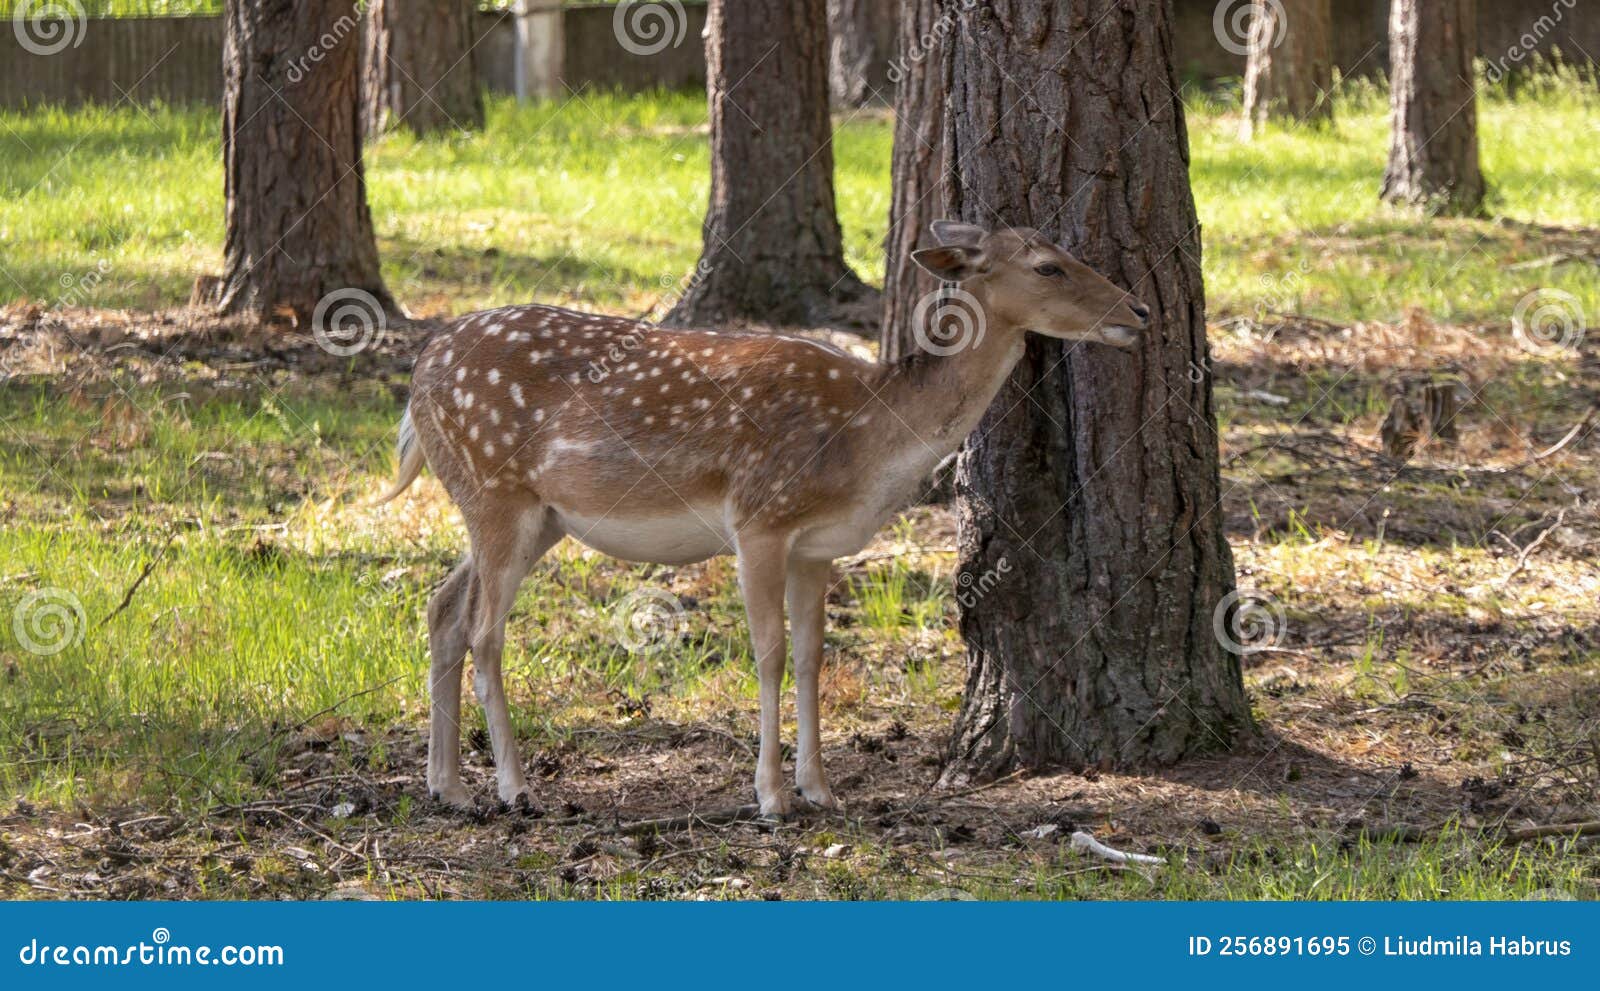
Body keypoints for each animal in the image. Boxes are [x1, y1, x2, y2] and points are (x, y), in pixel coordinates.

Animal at [374, 222, 1149, 817]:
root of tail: (418, 380)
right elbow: (769, 652)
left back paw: (447, 787)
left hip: (534, 514)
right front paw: (772, 797)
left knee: (442, 606)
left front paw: (821, 789)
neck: (869, 439)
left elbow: (811, 655)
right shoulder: (759, 518)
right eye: (1049, 265)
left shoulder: (817, 545)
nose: (1139, 310)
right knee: (484, 630)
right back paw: (513, 787)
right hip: (494, 487)